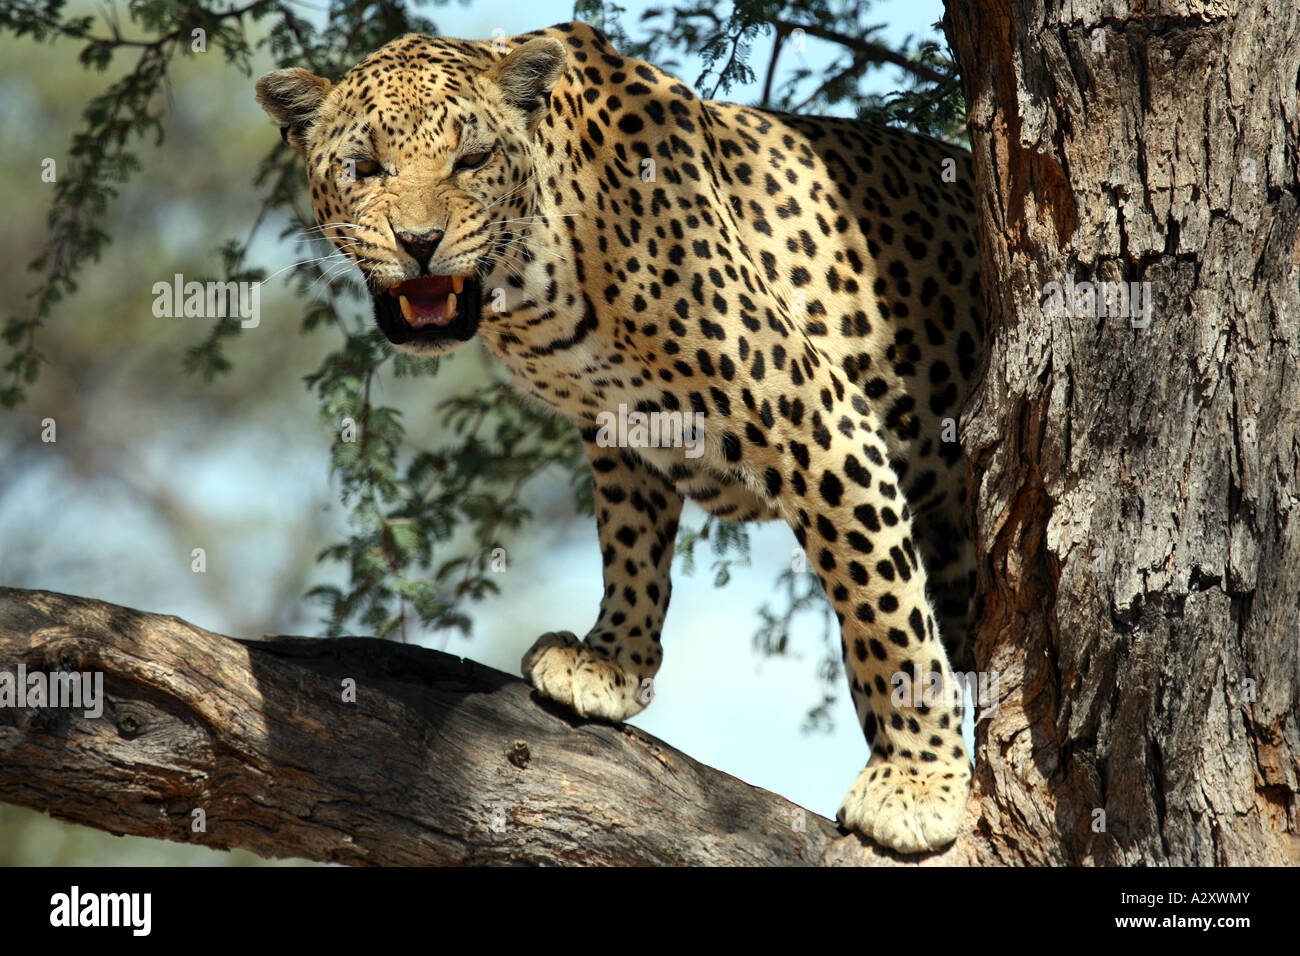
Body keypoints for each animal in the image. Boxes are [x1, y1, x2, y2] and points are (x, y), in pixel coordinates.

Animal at [256, 20, 985, 854]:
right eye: (364, 167)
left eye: (471, 160)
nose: (419, 241)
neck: (536, 286)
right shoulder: (624, 428)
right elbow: (633, 544)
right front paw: (609, 662)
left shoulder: (817, 417)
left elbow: (882, 605)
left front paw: (918, 782)